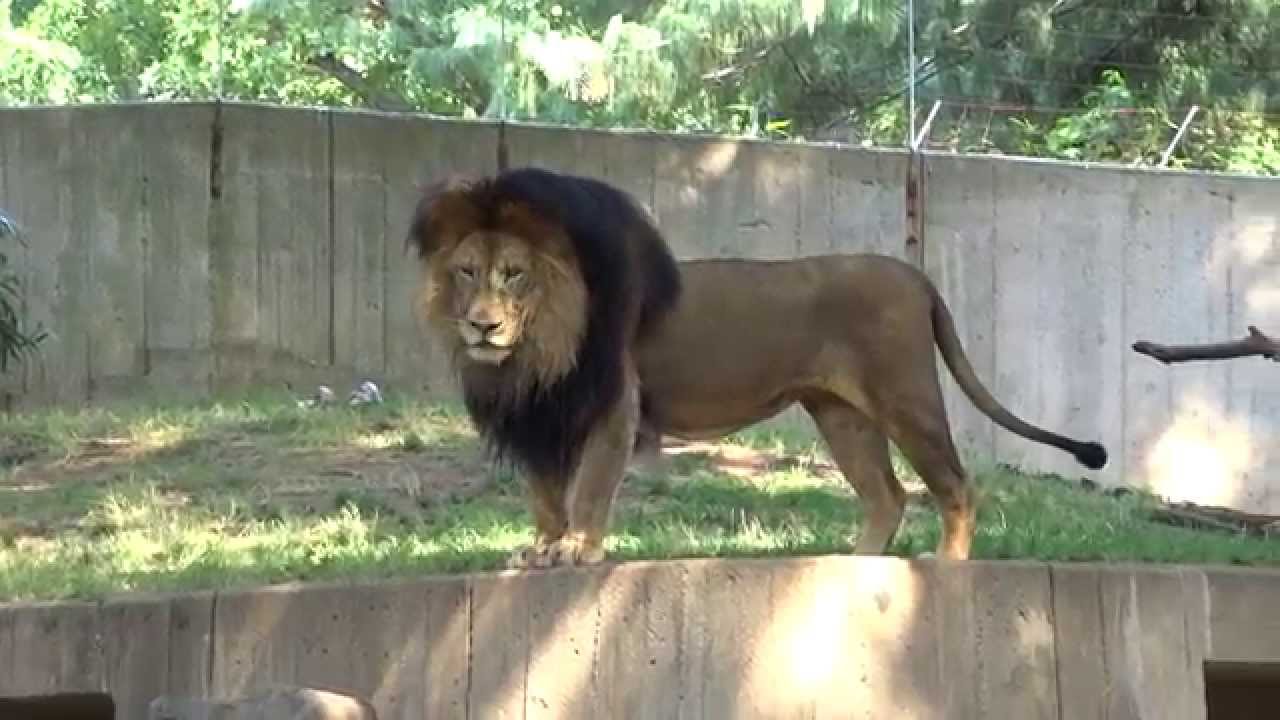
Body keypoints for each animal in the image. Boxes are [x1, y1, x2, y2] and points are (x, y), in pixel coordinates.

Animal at [407, 166, 682, 569]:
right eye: (467, 271)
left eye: (514, 273)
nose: (483, 326)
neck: (542, 348)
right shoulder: (535, 412)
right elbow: (544, 490)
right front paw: (544, 546)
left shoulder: (613, 401)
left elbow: (593, 482)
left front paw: (579, 545)